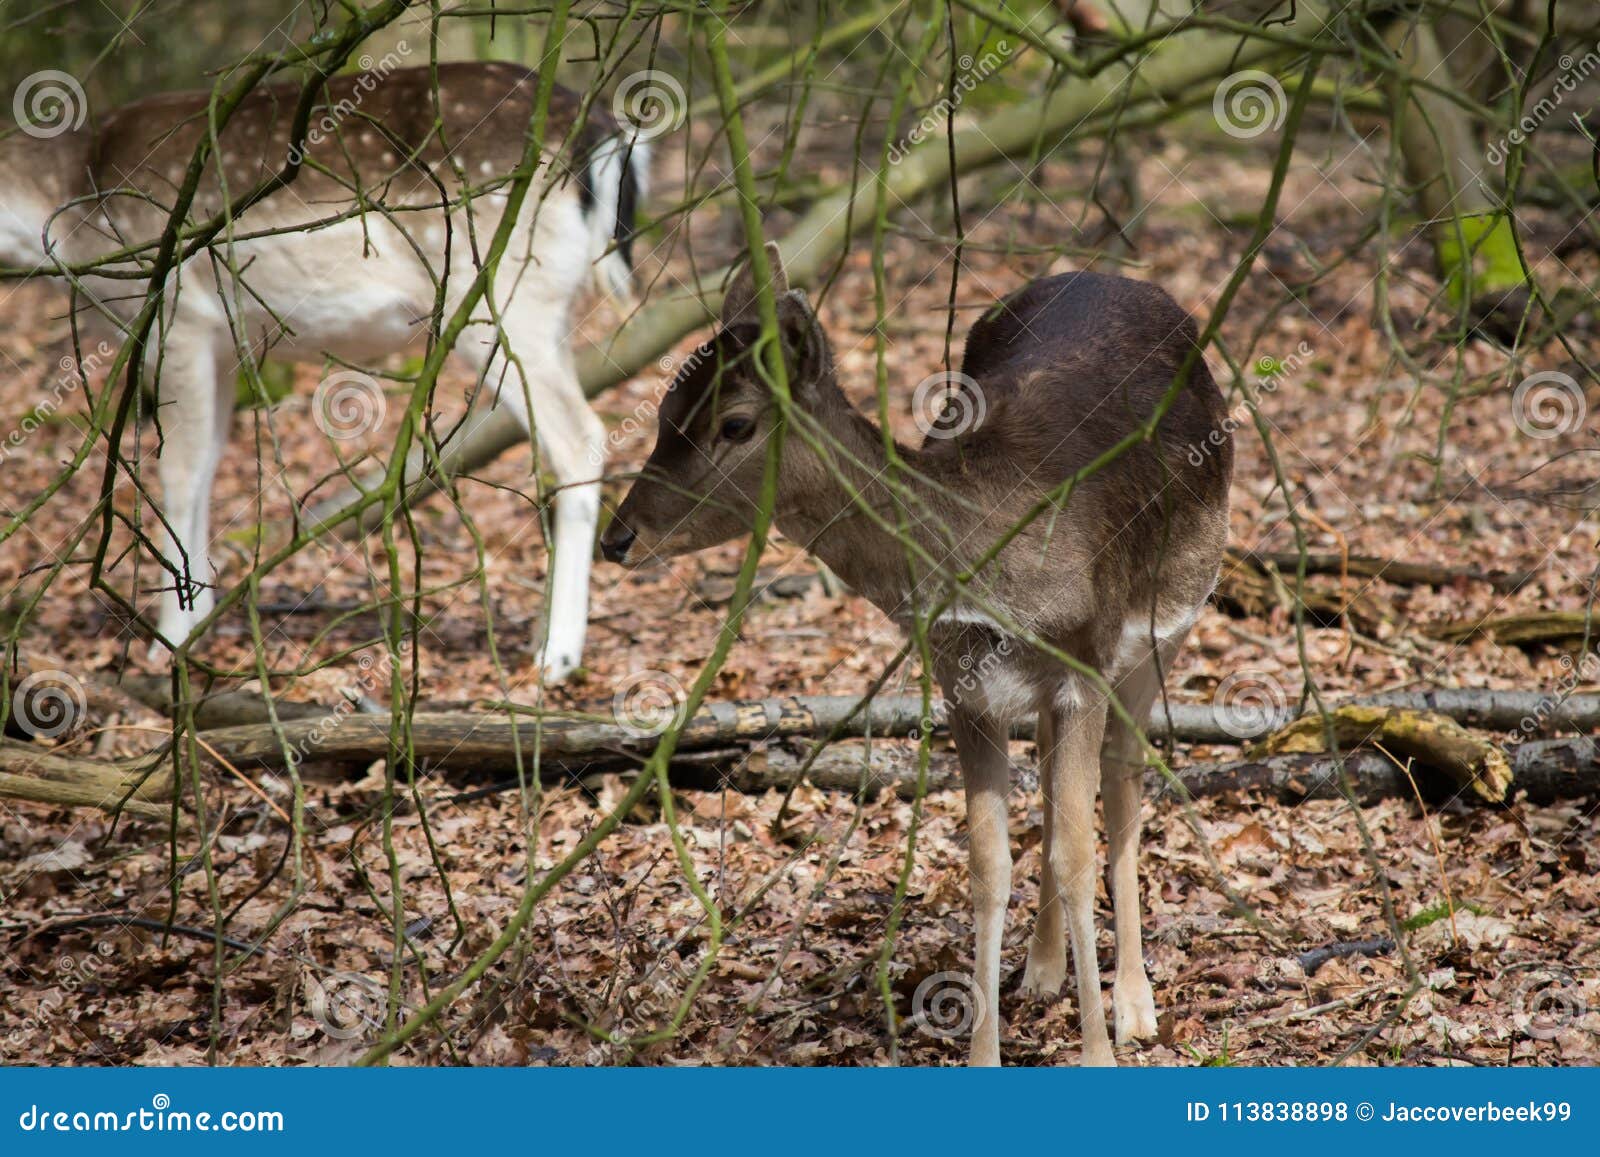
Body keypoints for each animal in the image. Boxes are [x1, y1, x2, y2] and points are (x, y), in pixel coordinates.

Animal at [0, 61, 646, 681]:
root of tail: (601, 135)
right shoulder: (226, 344)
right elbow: (208, 467)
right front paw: (199, 615)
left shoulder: (180, 316)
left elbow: (178, 473)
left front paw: (172, 641)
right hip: (546, 308)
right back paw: (539, 640)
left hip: (500, 297)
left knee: (579, 435)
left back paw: (558, 659)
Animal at [601, 244, 1233, 1065]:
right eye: (662, 413)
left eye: (735, 422)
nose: (618, 538)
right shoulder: (965, 685)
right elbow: (989, 864)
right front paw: (986, 1051)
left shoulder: (1088, 664)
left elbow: (1076, 852)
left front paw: (1098, 1051)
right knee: (1056, 781)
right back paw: (1041, 970)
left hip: (1169, 624)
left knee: (1124, 779)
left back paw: (1134, 1001)